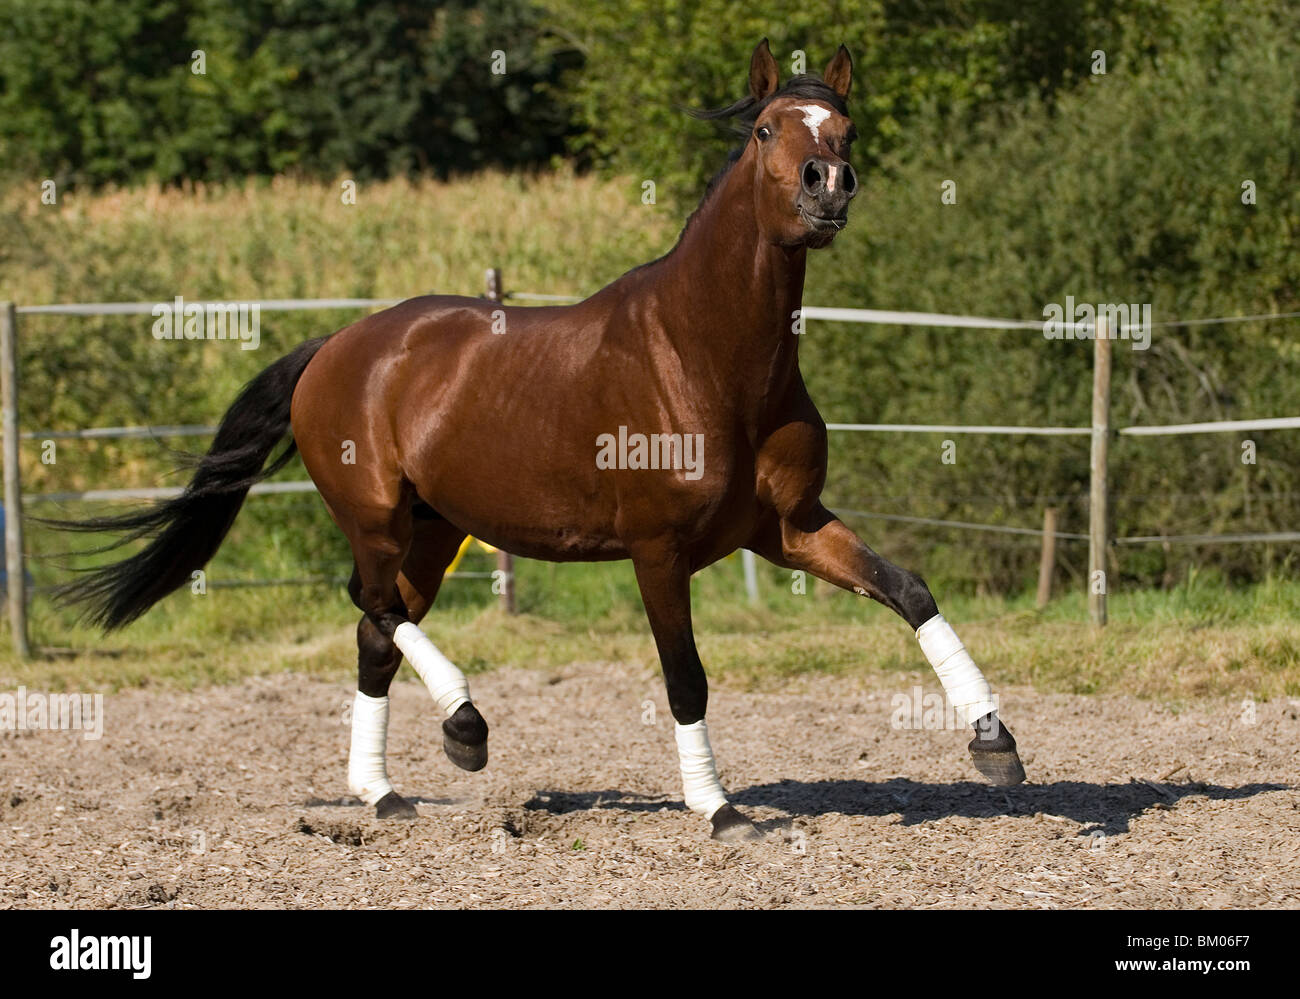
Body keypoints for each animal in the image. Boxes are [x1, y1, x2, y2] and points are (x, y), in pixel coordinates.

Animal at [52, 40, 1026, 842]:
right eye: (764, 129)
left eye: (847, 127)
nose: (828, 184)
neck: (710, 357)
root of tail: (334, 347)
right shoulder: (658, 550)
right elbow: (686, 677)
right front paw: (720, 811)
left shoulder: (788, 526)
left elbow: (909, 588)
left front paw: (994, 739)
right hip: (375, 517)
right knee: (375, 605)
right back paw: (464, 726)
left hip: (435, 527)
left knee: (375, 629)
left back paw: (386, 793)